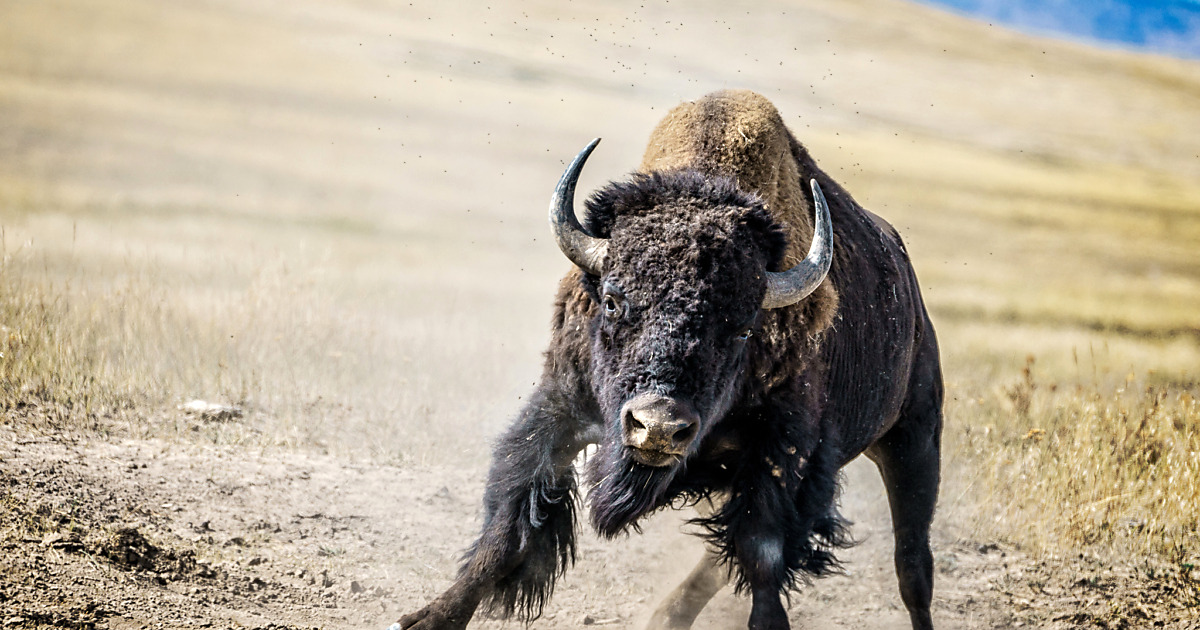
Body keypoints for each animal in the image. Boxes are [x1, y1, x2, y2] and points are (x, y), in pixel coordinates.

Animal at [397, 89, 943, 630]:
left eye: (744, 328)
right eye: (612, 299)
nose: (658, 427)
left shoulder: (780, 453)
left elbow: (762, 555)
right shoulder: (561, 408)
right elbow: (508, 526)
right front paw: (429, 618)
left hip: (914, 441)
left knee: (912, 568)